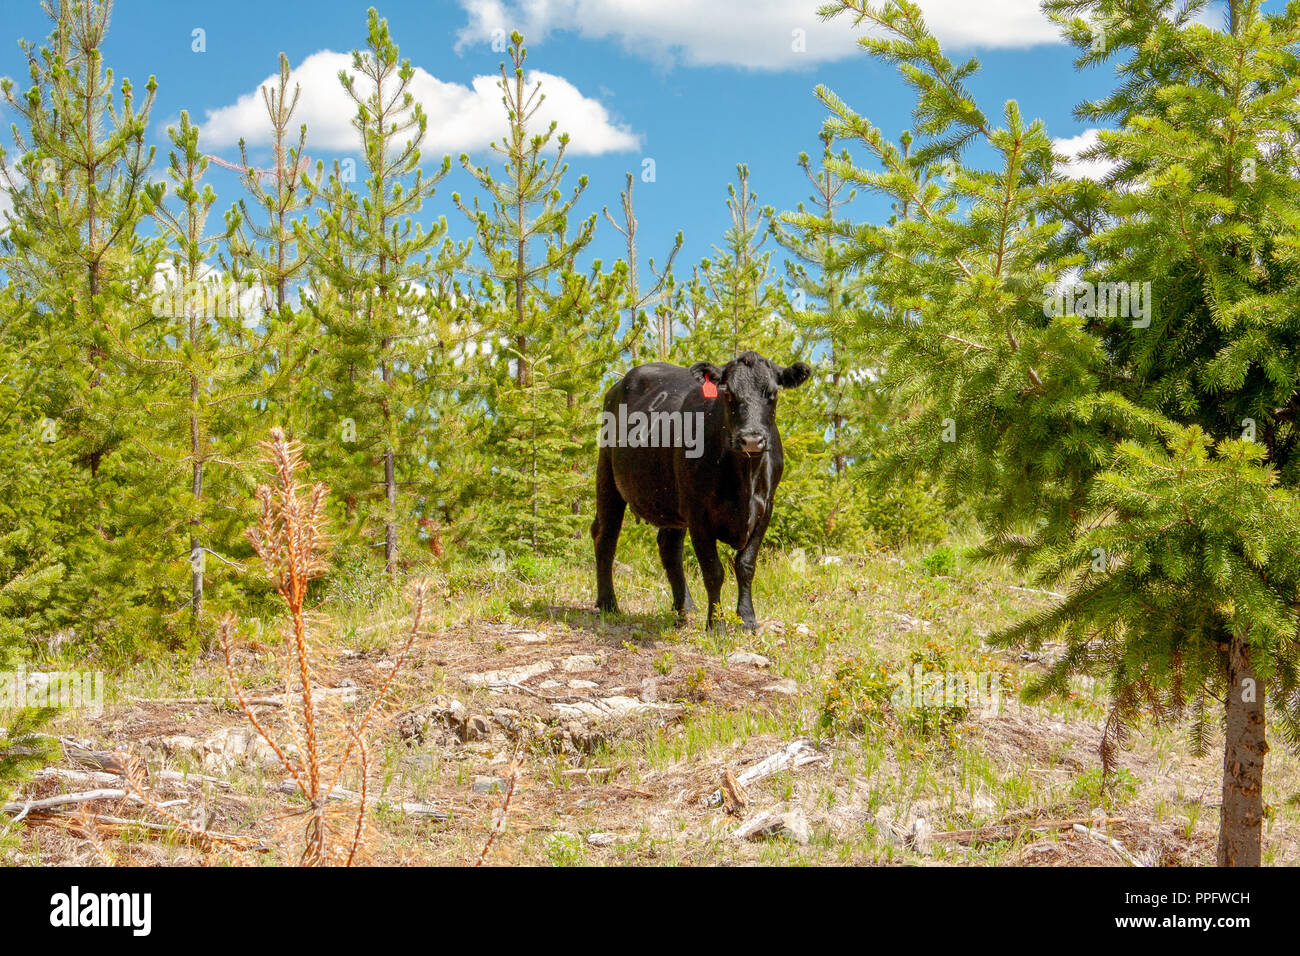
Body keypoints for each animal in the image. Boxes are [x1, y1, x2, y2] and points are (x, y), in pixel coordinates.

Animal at [592, 350, 812, 631]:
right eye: (728, 393)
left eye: (772, 393)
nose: (751, 439)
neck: (745, 479)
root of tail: (618, 385)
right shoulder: (698, 512)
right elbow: (713, 571)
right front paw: (716, 624)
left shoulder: (766, 507)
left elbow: (746, 565)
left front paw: (747, 618)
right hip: (607, 475)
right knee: (605, 536)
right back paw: (609, 603)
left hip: (671, 500)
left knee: (668, 547)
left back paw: (684, 606)